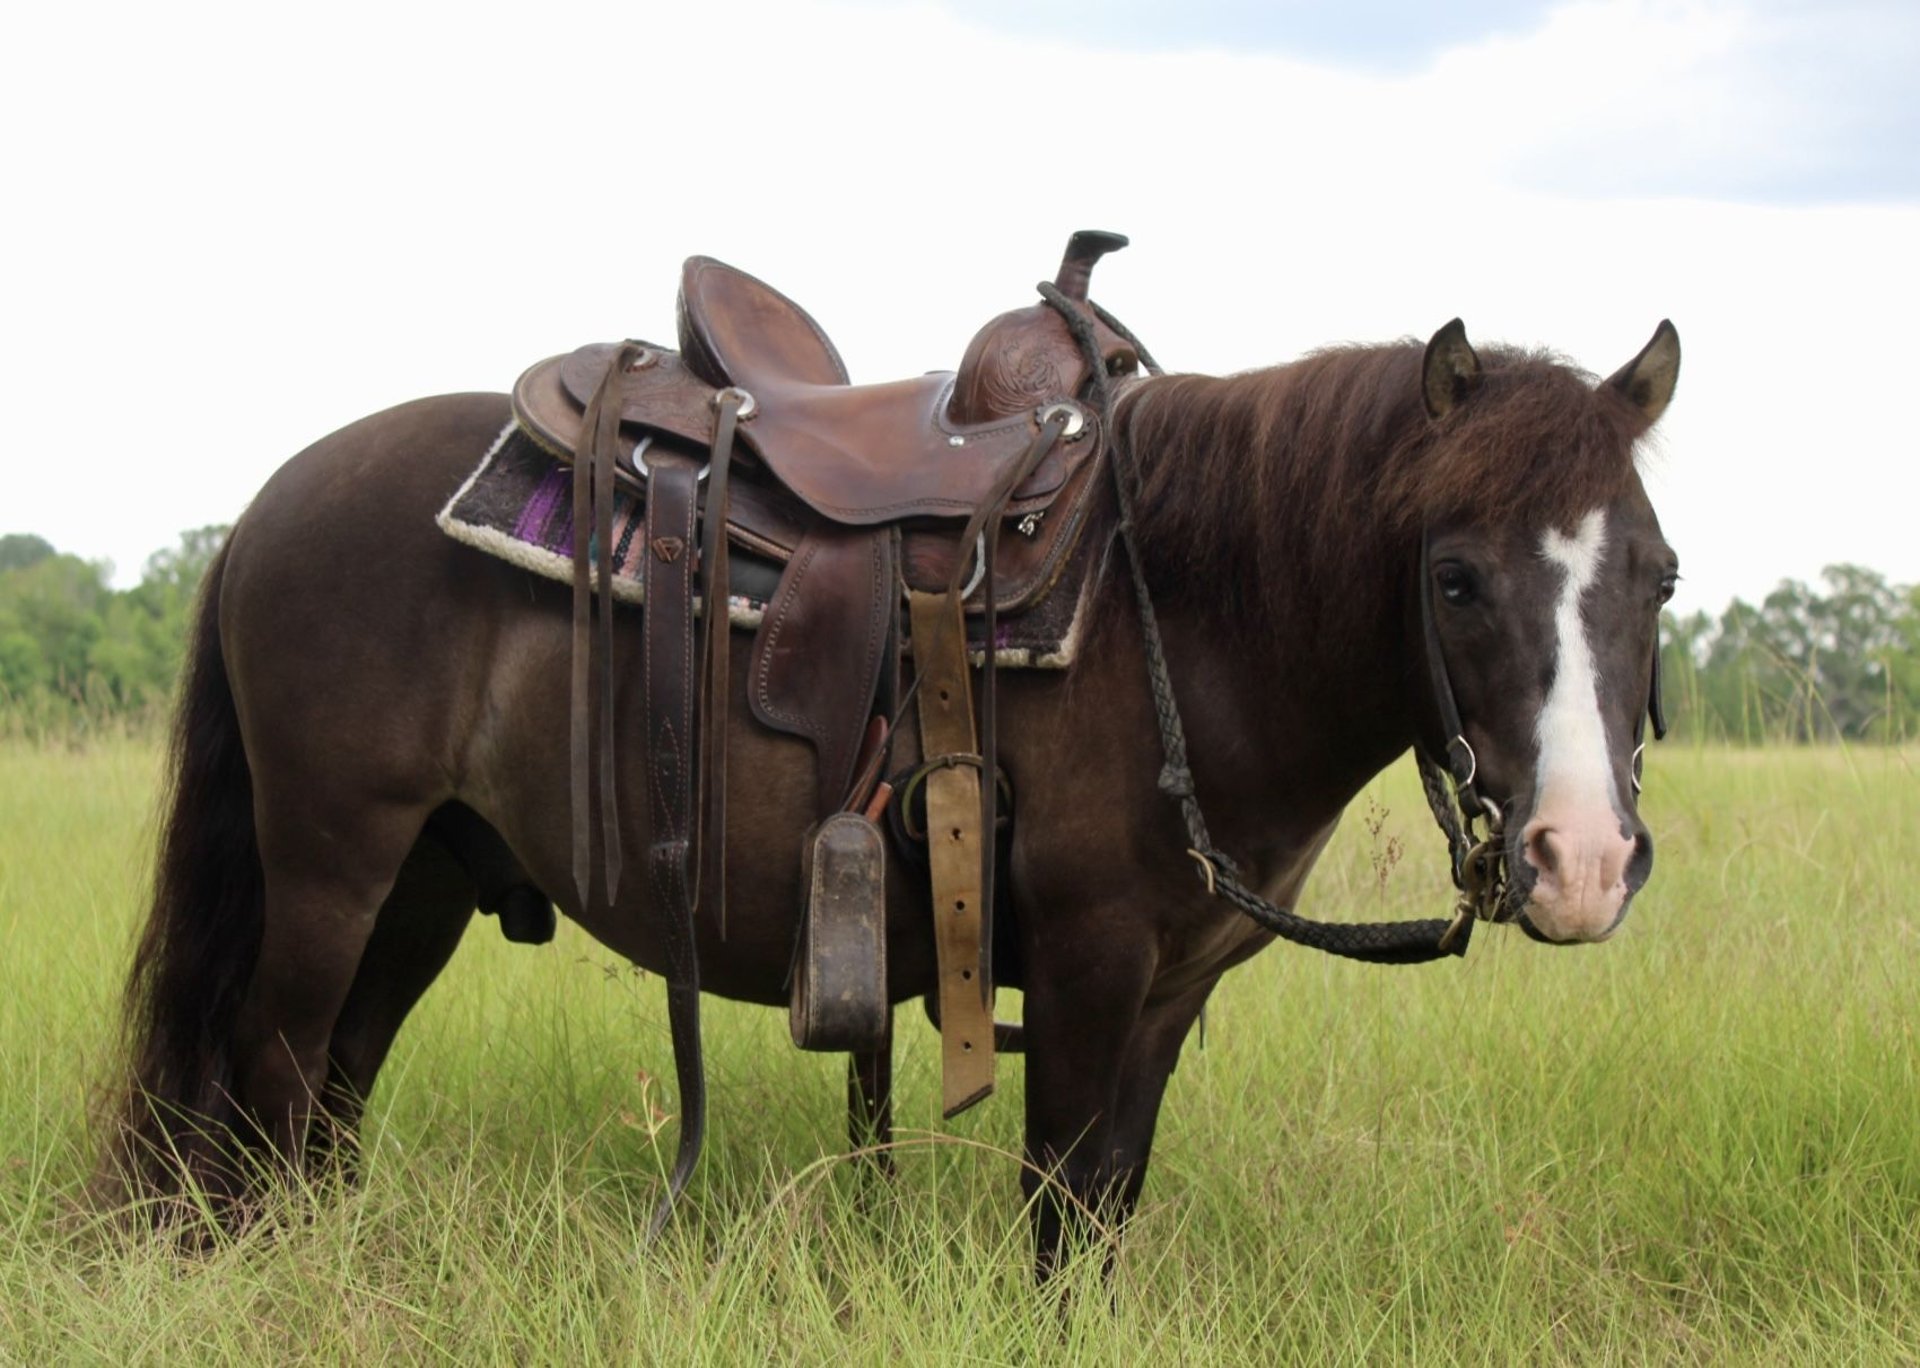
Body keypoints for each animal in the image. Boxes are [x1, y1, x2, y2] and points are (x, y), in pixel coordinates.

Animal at [102, 308, 1681, 1277]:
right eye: (1456, 577)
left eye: (1659, 577)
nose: (1583, 863)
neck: (1175, 610)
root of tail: (267, 505)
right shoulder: (1094, 965)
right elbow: (1061, 1212)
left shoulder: (1172, 992)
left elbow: (1111, 1203)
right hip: (333, 865)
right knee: (271, 1081)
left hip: (426, 879)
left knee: (331, 1095)